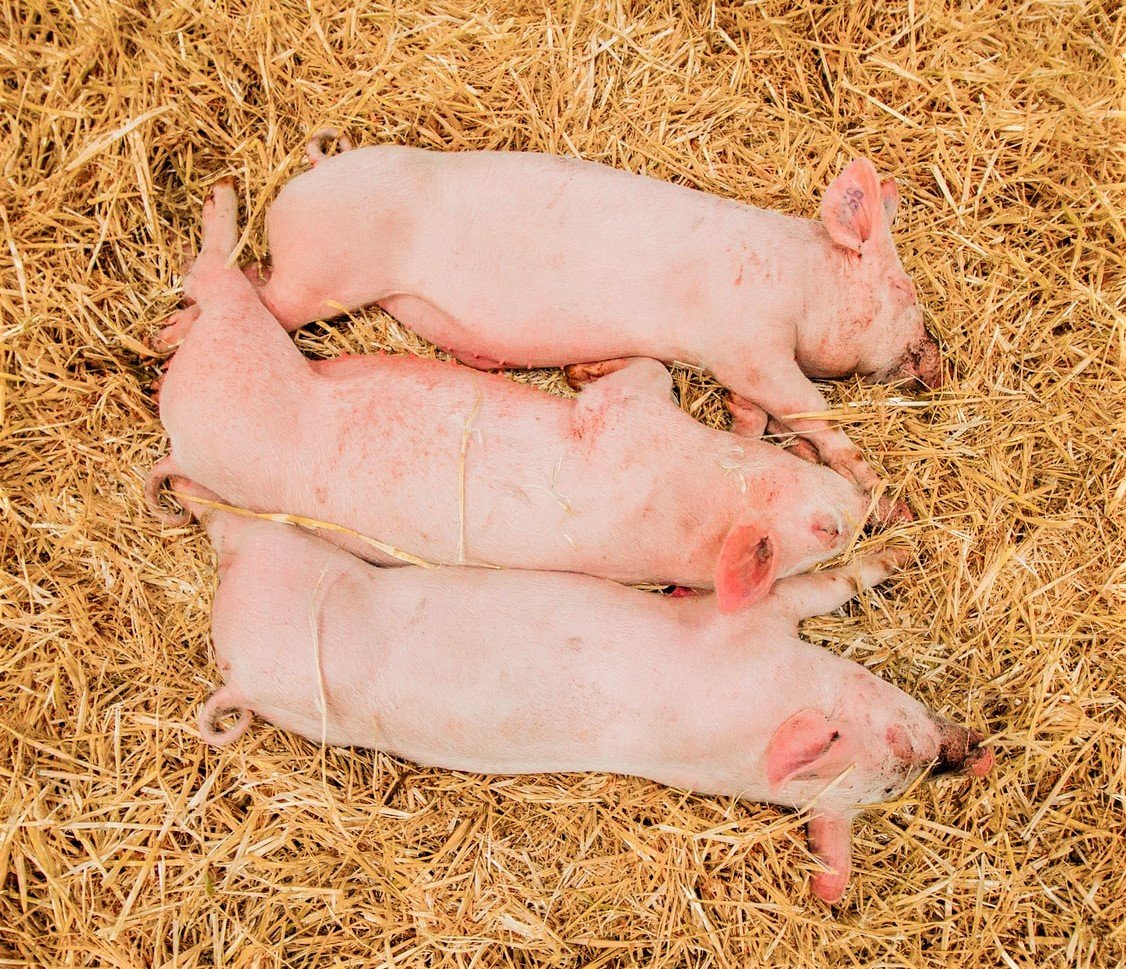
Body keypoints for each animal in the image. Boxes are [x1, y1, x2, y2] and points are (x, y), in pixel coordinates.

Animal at [148, 181, 871, 611]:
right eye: (827, 528)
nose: (868, 504)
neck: (692, 500)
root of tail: (177, 440)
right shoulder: (632, 418)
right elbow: (647, 371)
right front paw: (582, 369)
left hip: (242, 351)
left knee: (218, 284)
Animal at [179, 481, 991, 905]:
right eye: (894, 744)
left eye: (886, 791)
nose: (960, 748)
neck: (745, 717)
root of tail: (233, 672)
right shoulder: (744, 623)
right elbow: (824, 586)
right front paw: (898, 553)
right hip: (292, 555)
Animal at [250, 133, 940, 507]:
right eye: (902, 288)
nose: (933, 361)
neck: (797, 281)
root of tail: (315, 170)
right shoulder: (749, 347)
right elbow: (808, 408)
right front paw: (883, 499)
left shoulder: (745, 366)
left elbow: (758, 419)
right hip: (319, 276)